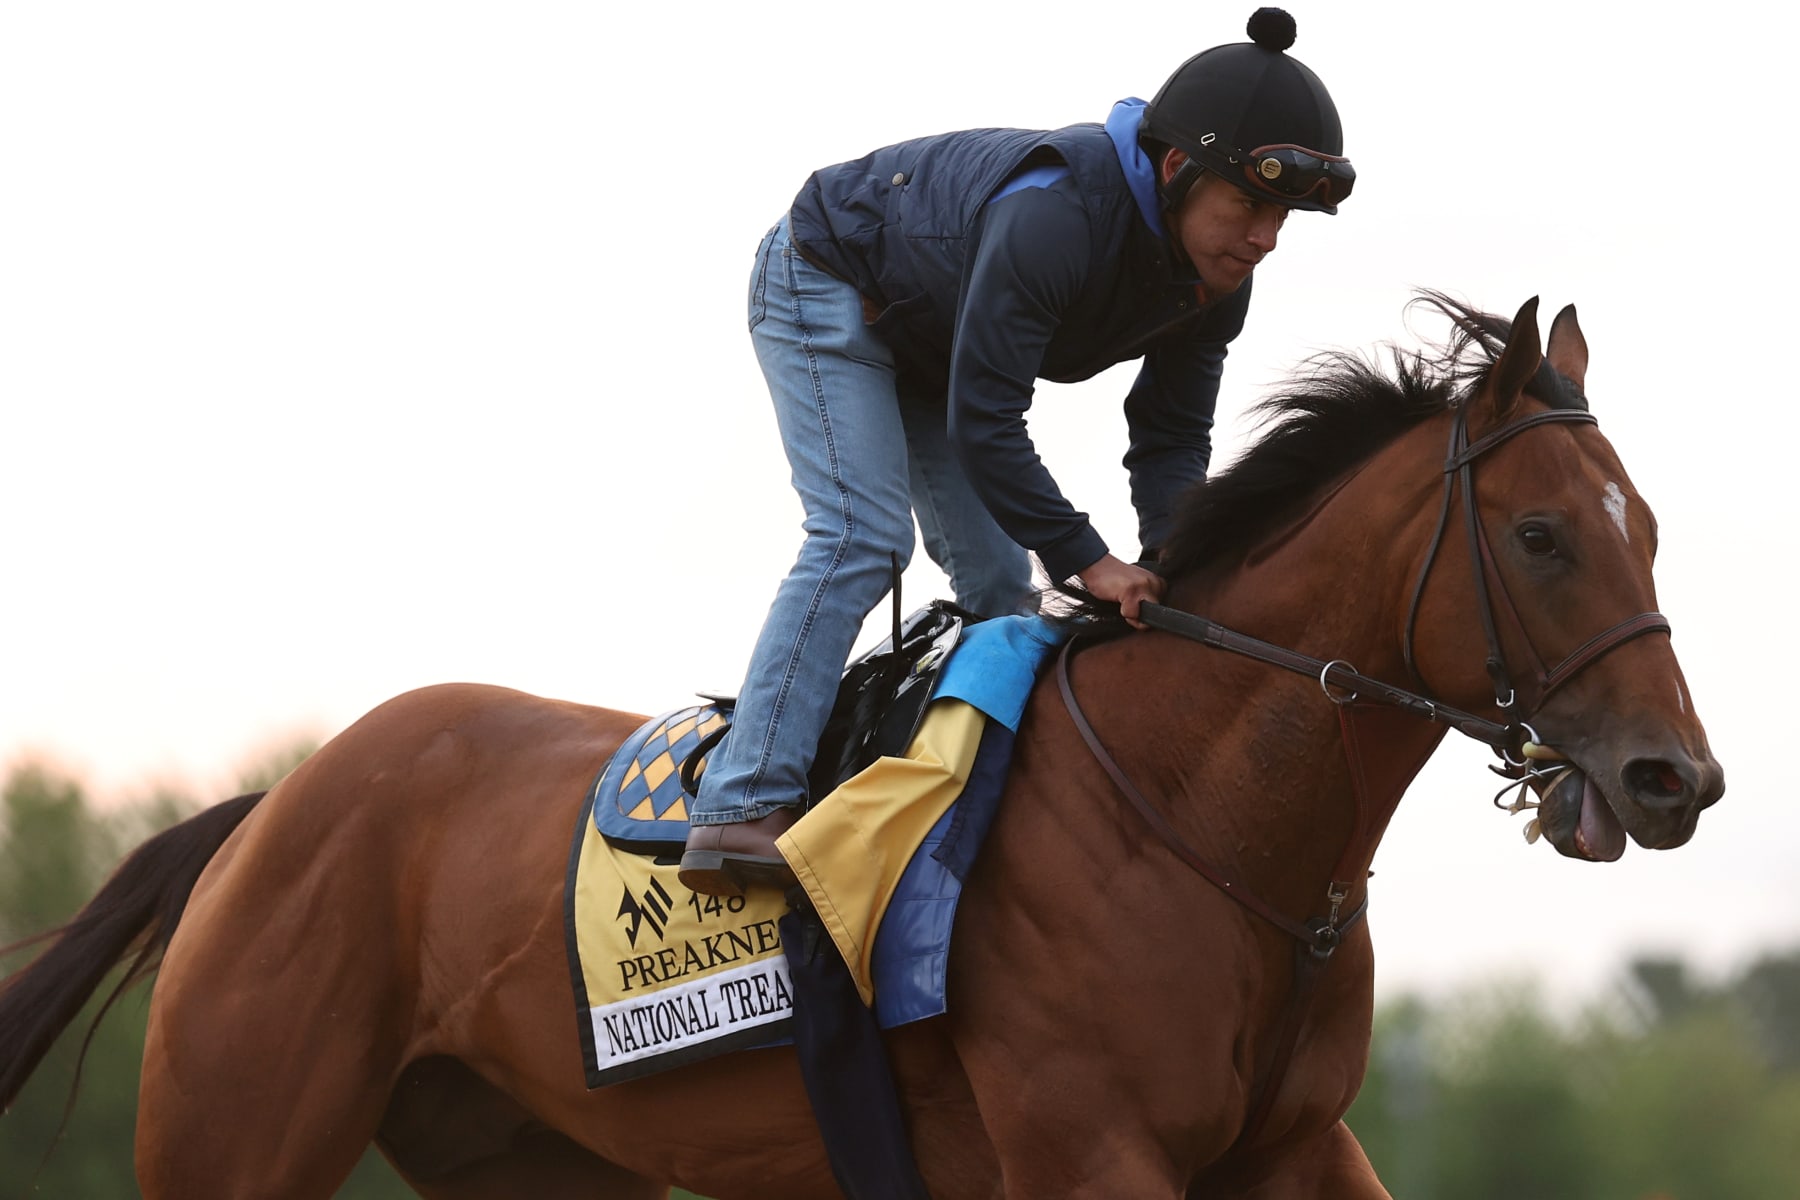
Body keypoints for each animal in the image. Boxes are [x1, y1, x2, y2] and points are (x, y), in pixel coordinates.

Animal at [0, 295, 1723, 1198]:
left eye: (1648, 527)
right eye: (1546, 535)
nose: (1677, 780)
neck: (1200, 814)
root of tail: (269, 810)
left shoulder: (1293, 1148)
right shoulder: (1089, 1149)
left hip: (525, 1150)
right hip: (237, 1131)